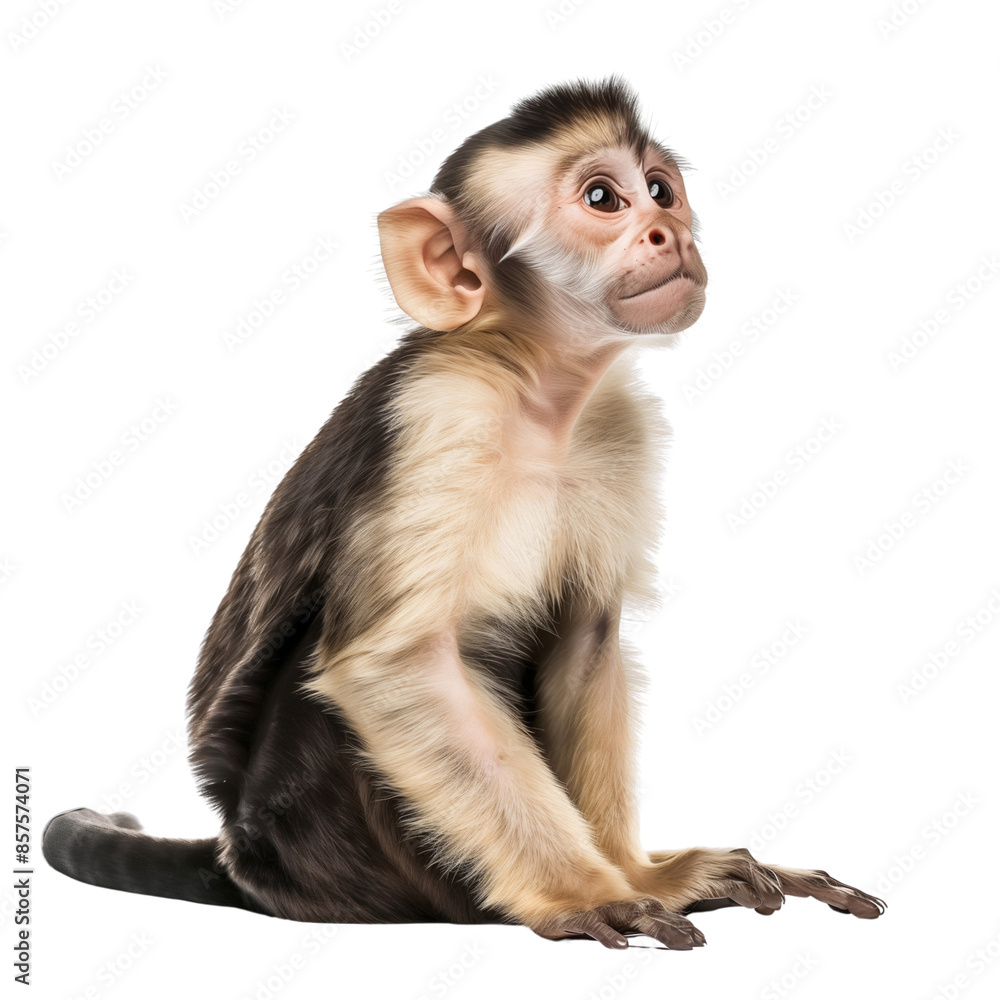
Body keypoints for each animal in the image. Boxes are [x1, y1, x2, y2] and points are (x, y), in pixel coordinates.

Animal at [43, 77, 885, 950]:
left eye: (659, 189)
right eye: (602, 199)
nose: (666, 228)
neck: (532, 387)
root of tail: (241, 853)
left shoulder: (616, 428)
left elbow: (586, 638)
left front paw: (648, 876)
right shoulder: (439, 415)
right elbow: (398, 667)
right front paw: (586, 890)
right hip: (324, 846)